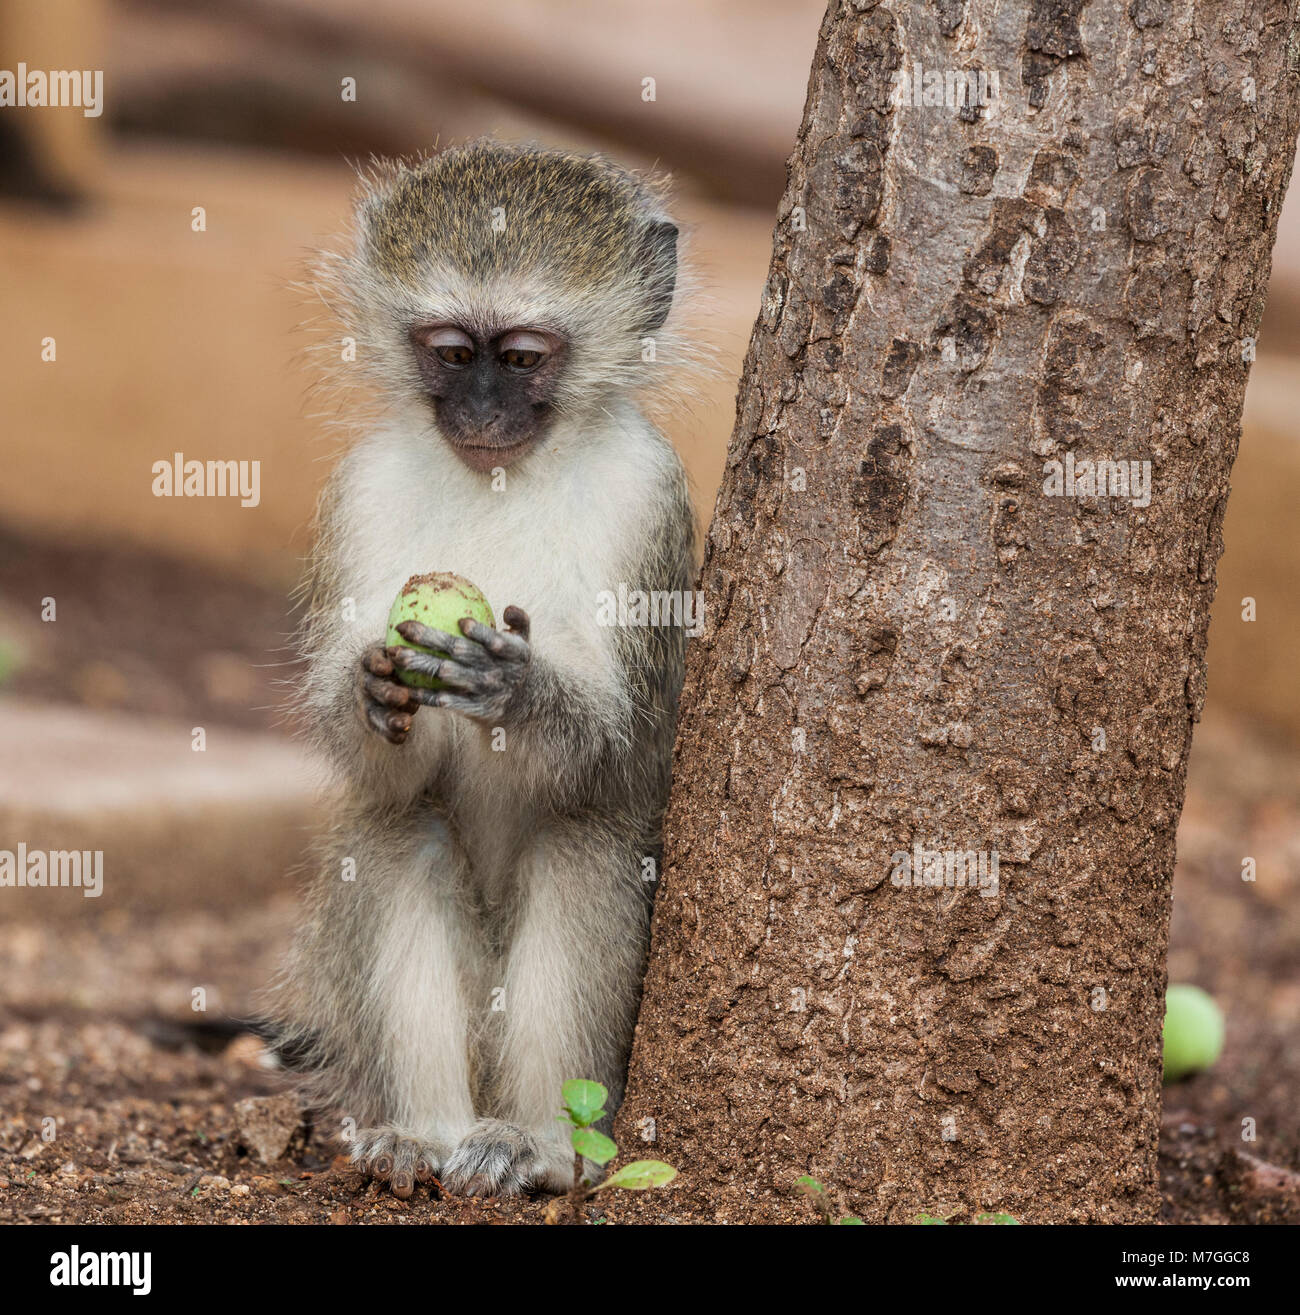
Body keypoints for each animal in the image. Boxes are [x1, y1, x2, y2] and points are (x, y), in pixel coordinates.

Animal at [263, 141, 696, 1199]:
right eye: (454, 353)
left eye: (525, 358)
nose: (482, 411)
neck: (506, 475)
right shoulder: (358, 489)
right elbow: (374, 772)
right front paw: (372, 693)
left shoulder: (652, 497)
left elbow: (624, 749)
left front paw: (516, 692)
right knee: (396, 835)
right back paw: (424, 1132)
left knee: (582, 844)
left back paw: (536, 1142)